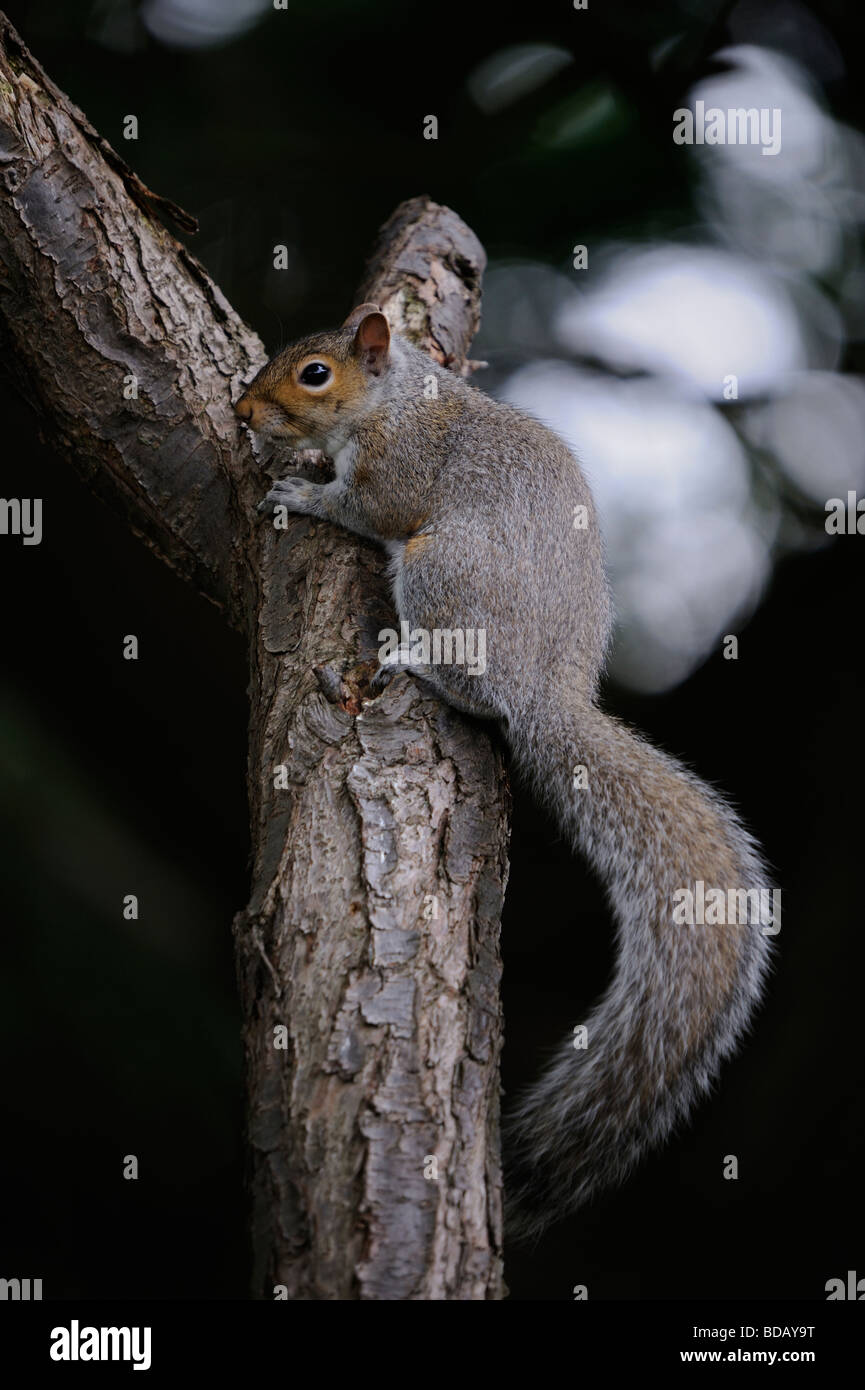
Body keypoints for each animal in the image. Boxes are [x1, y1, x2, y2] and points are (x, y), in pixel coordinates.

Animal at [235, 303, 774, 1240]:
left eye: (313, 375)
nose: (240, 412)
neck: (399, 400)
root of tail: (546, 692)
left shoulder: (398, 473)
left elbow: (364, 505)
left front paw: (303, 492)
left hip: (440, 568)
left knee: (469, 684)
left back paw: (416, 662)